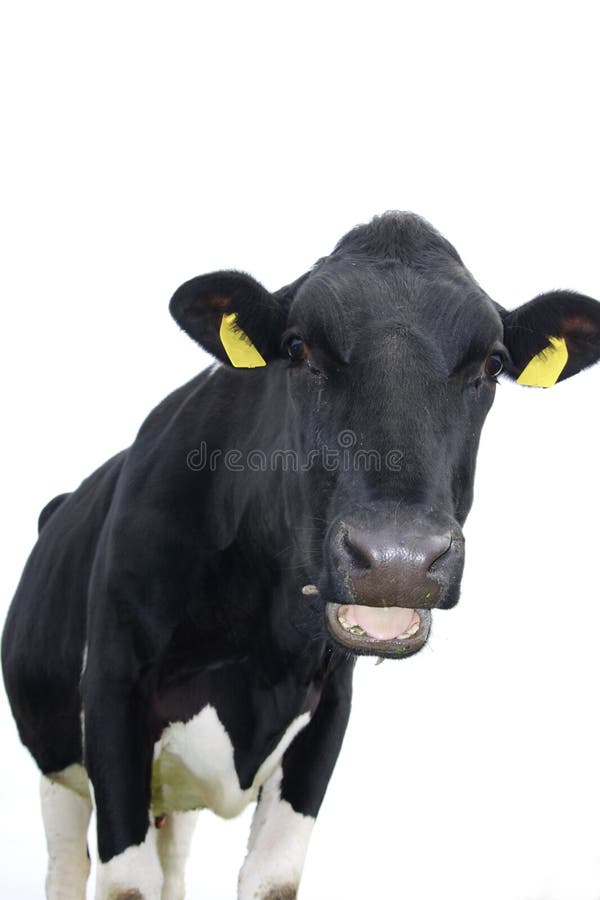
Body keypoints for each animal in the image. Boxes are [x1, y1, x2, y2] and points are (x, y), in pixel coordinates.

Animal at [3, 212, 600, 900]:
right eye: (296, 349)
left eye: (494, 361)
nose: (397, 559)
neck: (262, 646)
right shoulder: (111, 691)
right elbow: (128, 881)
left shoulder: (326, 714)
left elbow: (272, 876)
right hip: (57, 766)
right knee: (67, 867)